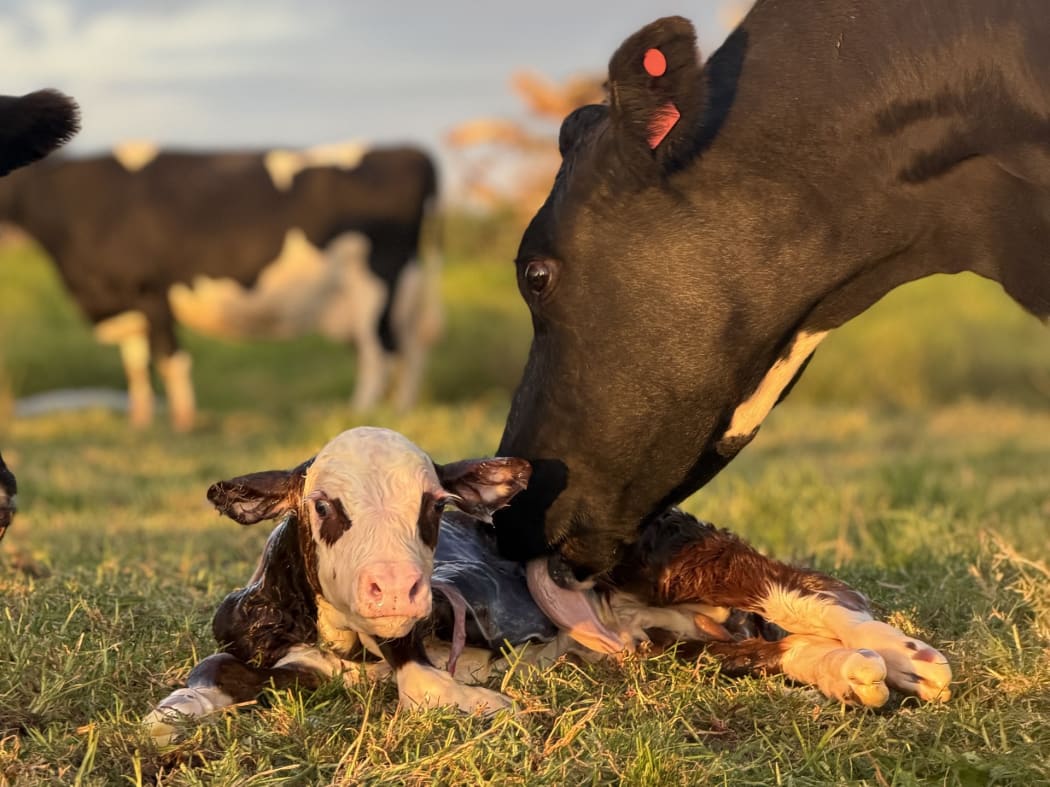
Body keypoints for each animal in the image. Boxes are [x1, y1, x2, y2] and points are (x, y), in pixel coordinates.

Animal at [0, 144, 442, 430]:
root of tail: (409, 151)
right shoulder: (125, 300)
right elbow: (136, 362)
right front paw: (139, 421)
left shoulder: (152, 294)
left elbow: (169, 360)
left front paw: (184, 421)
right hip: (403, 288)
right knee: (410, 349)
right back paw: (401, 410)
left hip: (375, 283)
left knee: (380, 354)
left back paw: (360, 415)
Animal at [143, 427, 949, 745]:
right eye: (323, 505)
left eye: (433, 506)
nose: (395, 589)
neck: (340, 640)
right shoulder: (244, 633)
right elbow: (186, 693)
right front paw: (173, 720)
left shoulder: (448, 618)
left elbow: (425, 683)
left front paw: (487, 704)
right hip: (668, 645)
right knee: (760, 648)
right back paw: (854, 673)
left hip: (664, 553)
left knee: (800, 588)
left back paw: (913, 660)